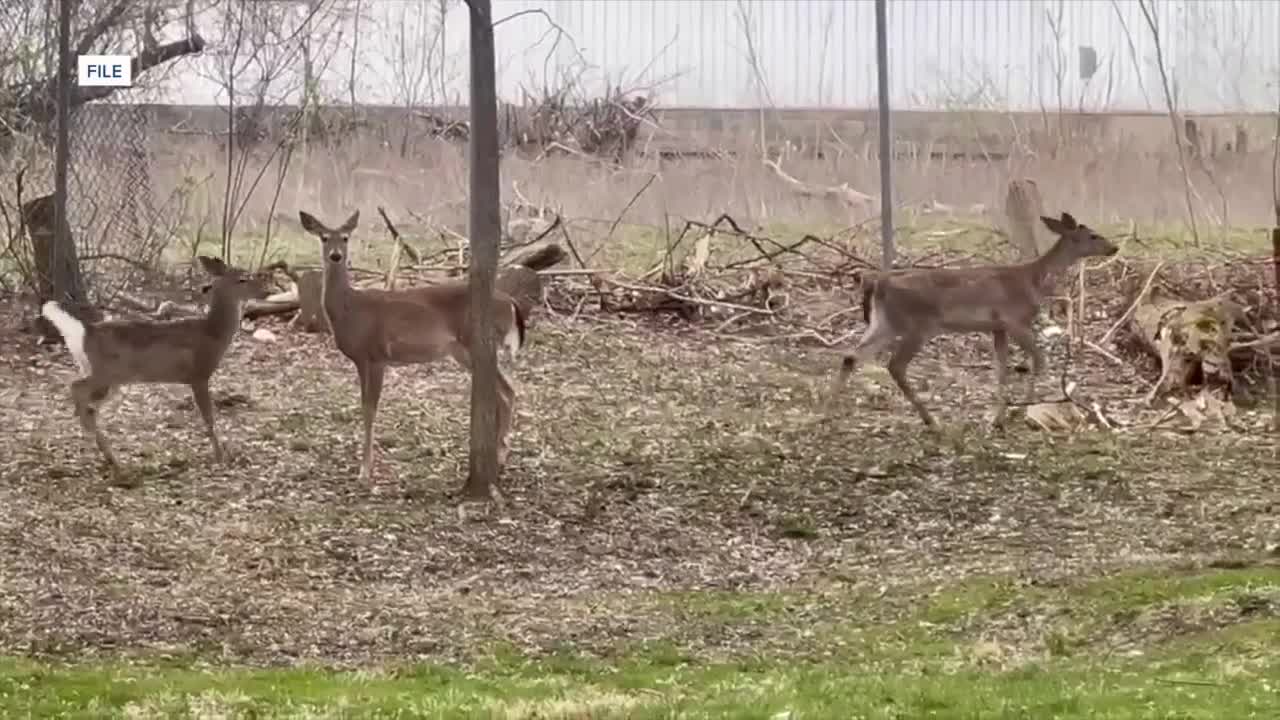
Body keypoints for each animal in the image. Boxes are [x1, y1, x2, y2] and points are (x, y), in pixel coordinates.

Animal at [40, 256, 272, 472]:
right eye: (242, 278)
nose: (265, 292)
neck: (212, 333)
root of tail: (86, 331)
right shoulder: (198, 374)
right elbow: (209, 418)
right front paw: (220, 457)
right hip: (107, 372)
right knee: (76, 388)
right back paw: (98, 443)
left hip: (107, 376)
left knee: (88, 403)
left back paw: (109, 456)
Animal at [298, 209, 531, 483]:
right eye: (324, 238)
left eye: (345, 237)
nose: (336, 255)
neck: (351, 310)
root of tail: (512, 302)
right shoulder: (361, 359)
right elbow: (364, 407)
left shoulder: (376, 355)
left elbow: (370, 410)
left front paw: (365, 471)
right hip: (463, 351)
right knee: (504, 391)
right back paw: (497, 458)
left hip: (478, 342)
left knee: (506, 391)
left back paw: (500, 457)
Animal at [830, 212, 1119, 428]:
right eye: (1093, 235)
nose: (1114, 247)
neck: (1033, 281)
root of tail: (877, 282)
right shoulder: (1014, 320)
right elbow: (1038, 360)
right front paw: (1020, 412)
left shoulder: (997, 327)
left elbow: (1001, 370)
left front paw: (999, 419)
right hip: (916, 324)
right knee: (895, 365)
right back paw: (931, 420)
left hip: (884, 323)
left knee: (851, 355)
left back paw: (828, 408)